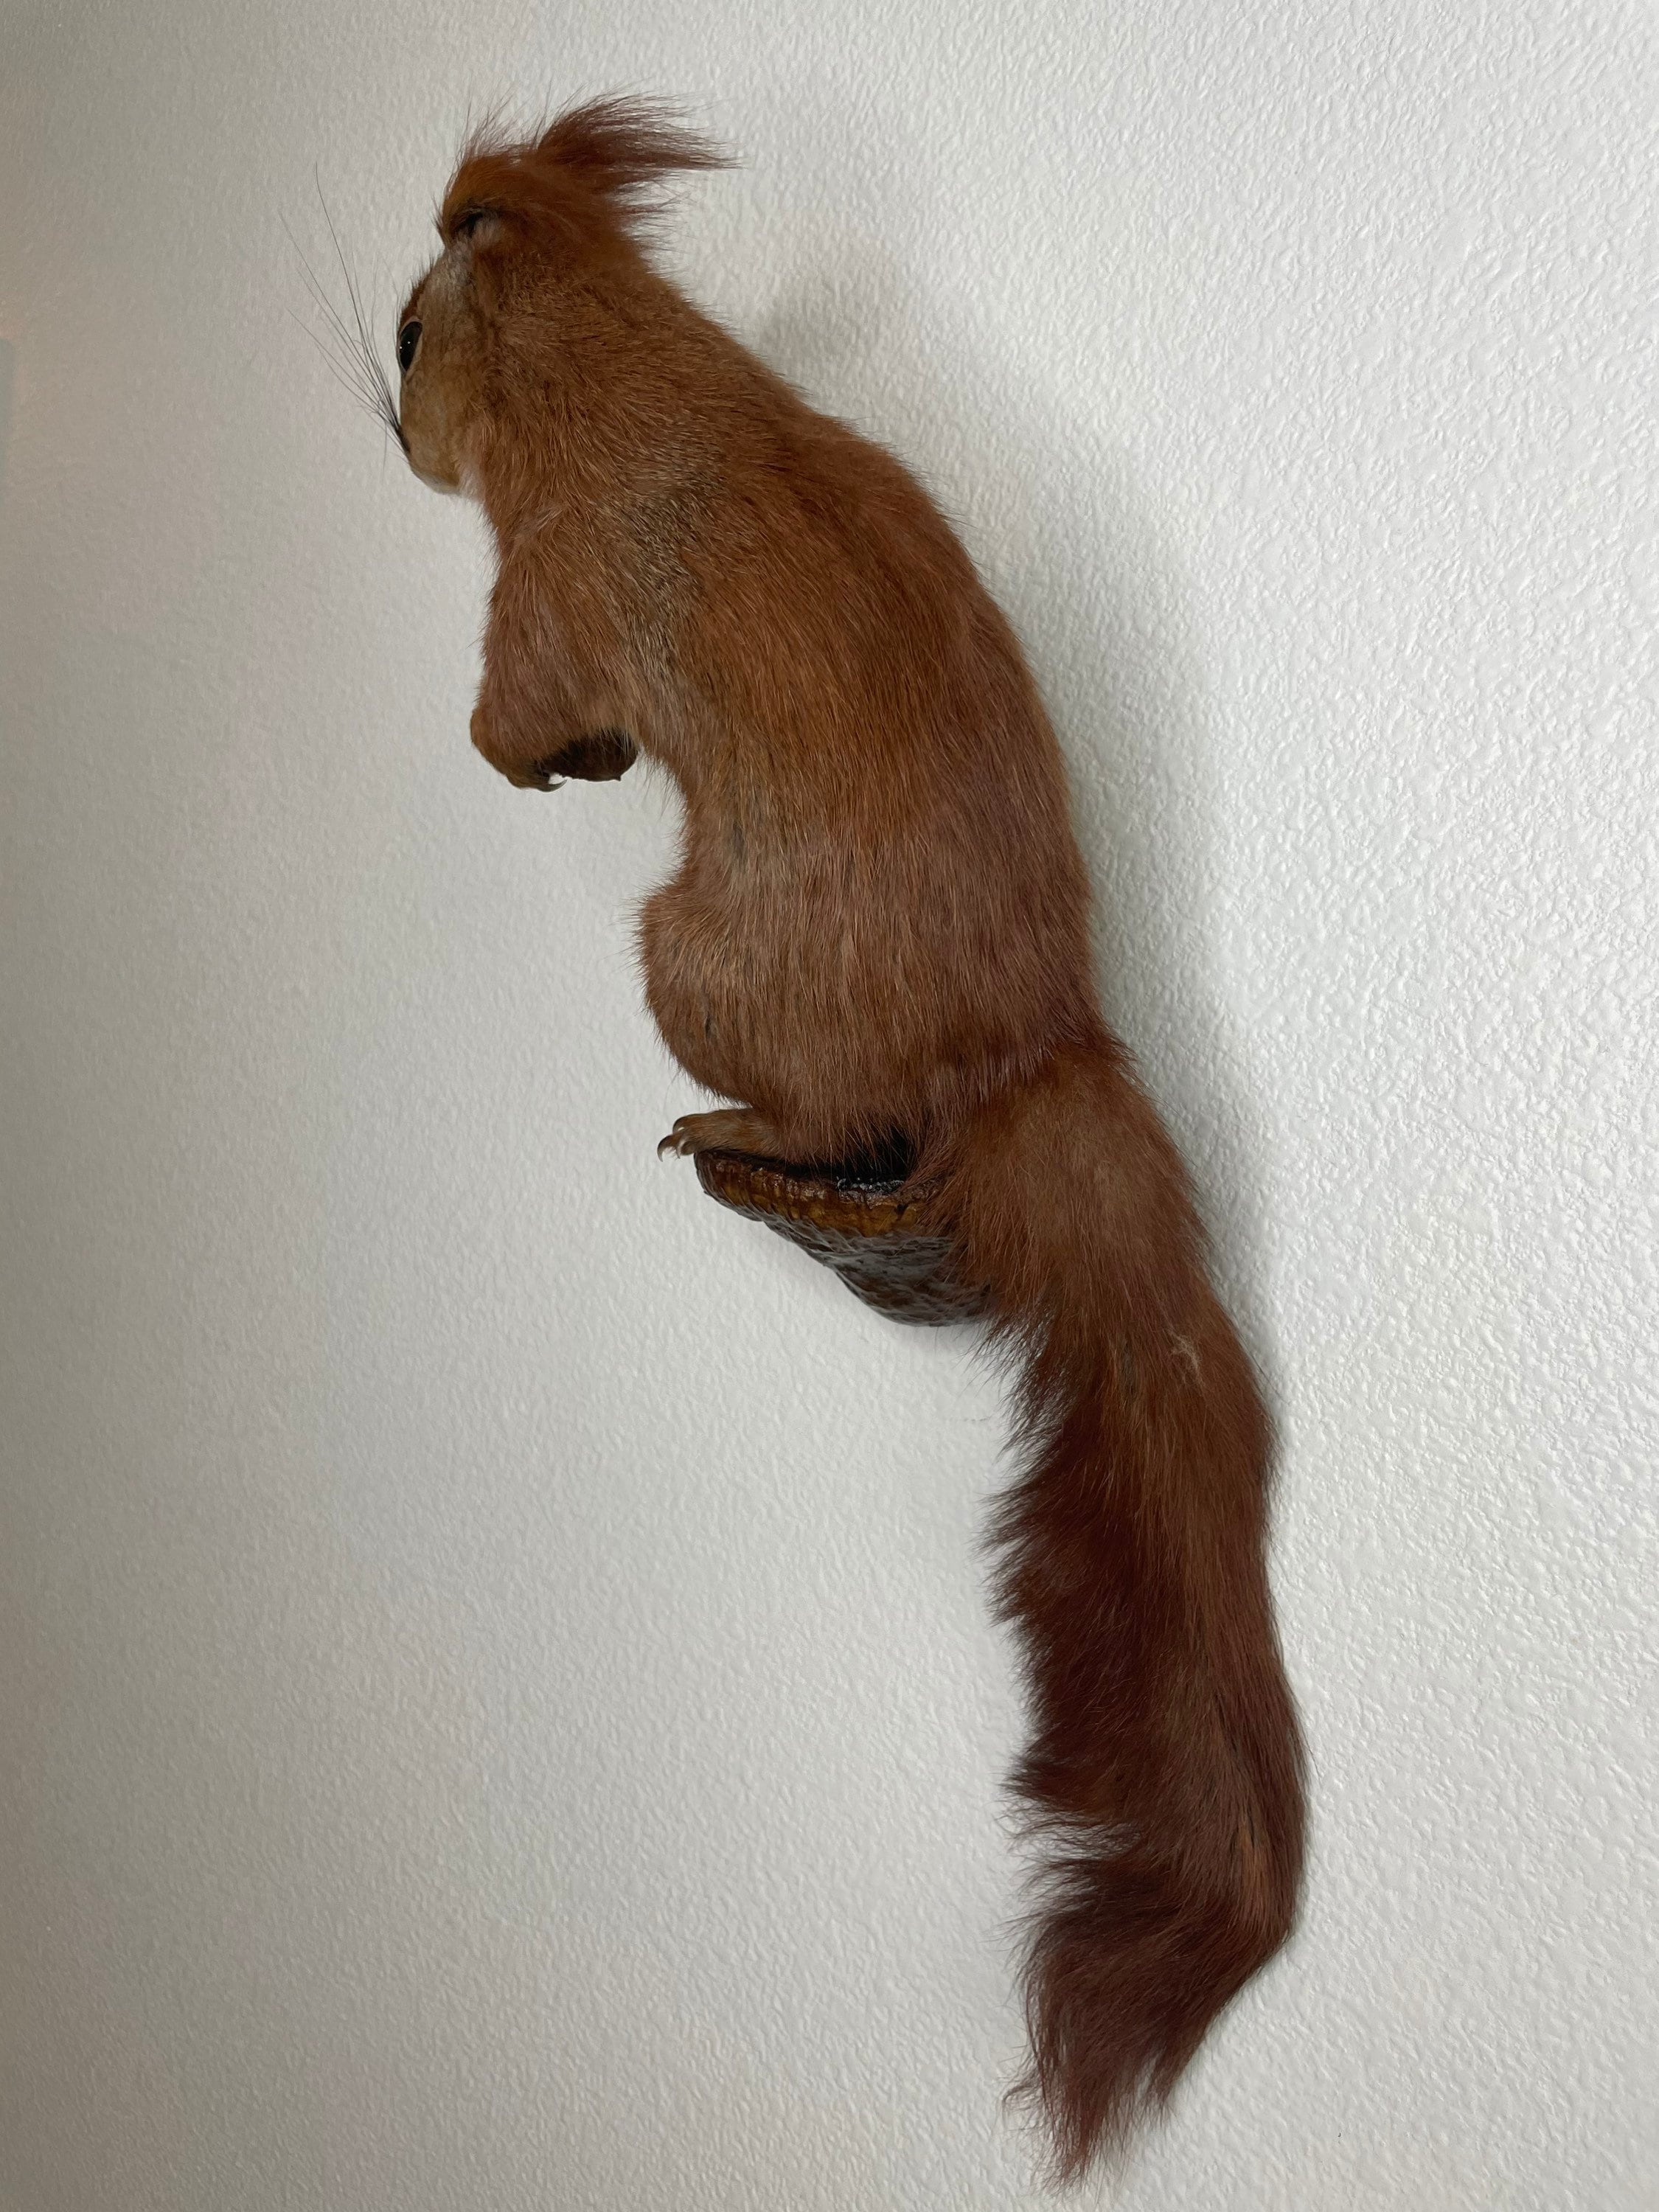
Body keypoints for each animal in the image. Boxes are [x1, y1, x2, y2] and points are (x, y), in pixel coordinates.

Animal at [385, 98, 1305, 2182]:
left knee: (831, 1117)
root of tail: (1042, 1050)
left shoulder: (549, 583)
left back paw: (724, 1127)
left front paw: (545, 758)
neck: (647, 384)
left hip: (690, 950)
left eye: (404, 329)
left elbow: (512, 701)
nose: (384, 429)